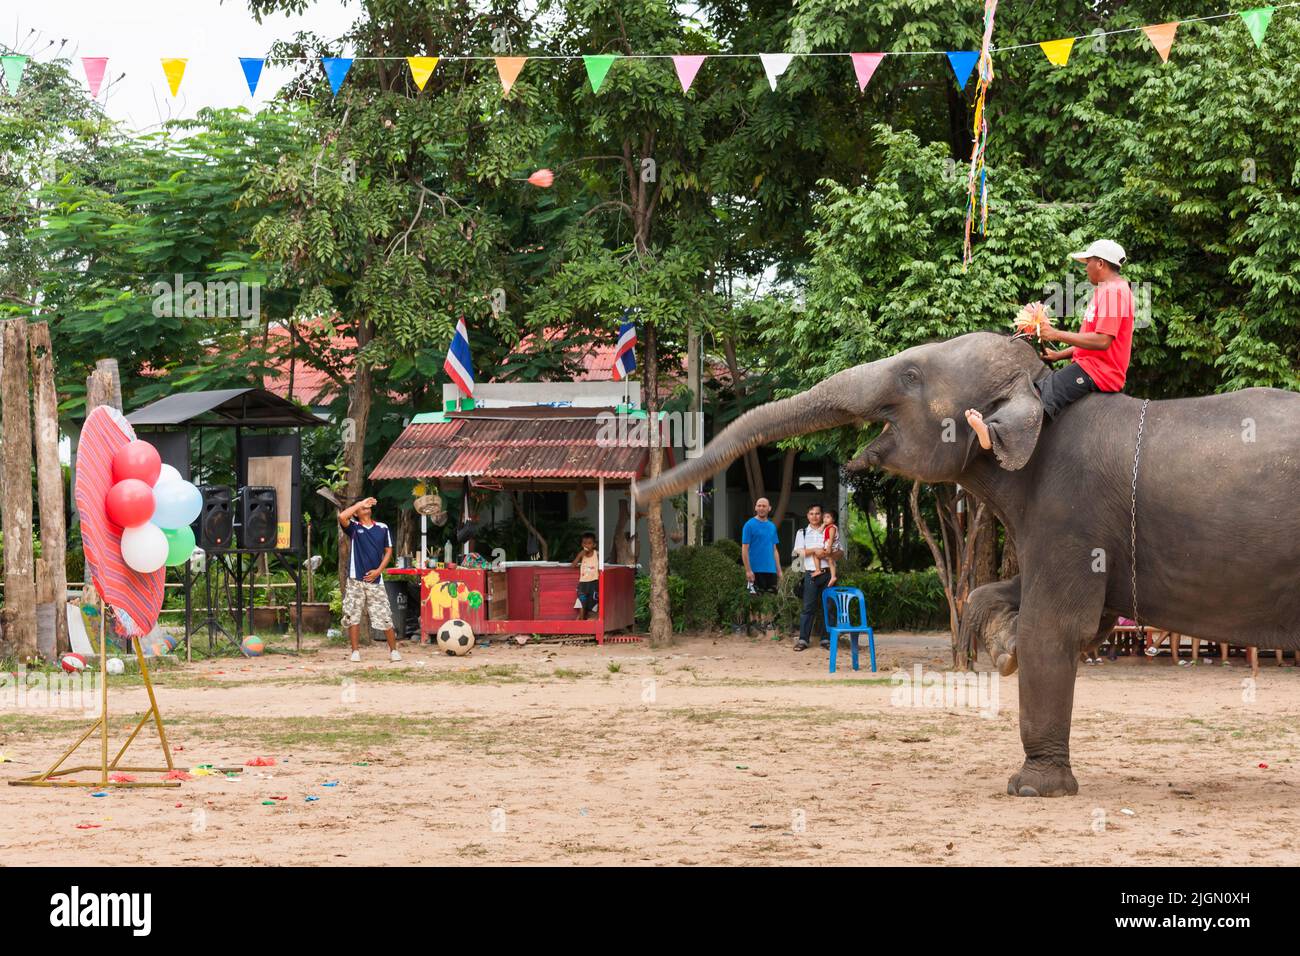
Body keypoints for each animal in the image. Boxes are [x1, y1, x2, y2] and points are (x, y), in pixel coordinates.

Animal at [633, 331, 1300, 796]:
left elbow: (1059, 629)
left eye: (910, 373)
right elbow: (1030, 603)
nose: (639, 494)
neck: (1041, 393)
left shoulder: (1072, 510)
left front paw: (1031, 788)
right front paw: (1000, 649)